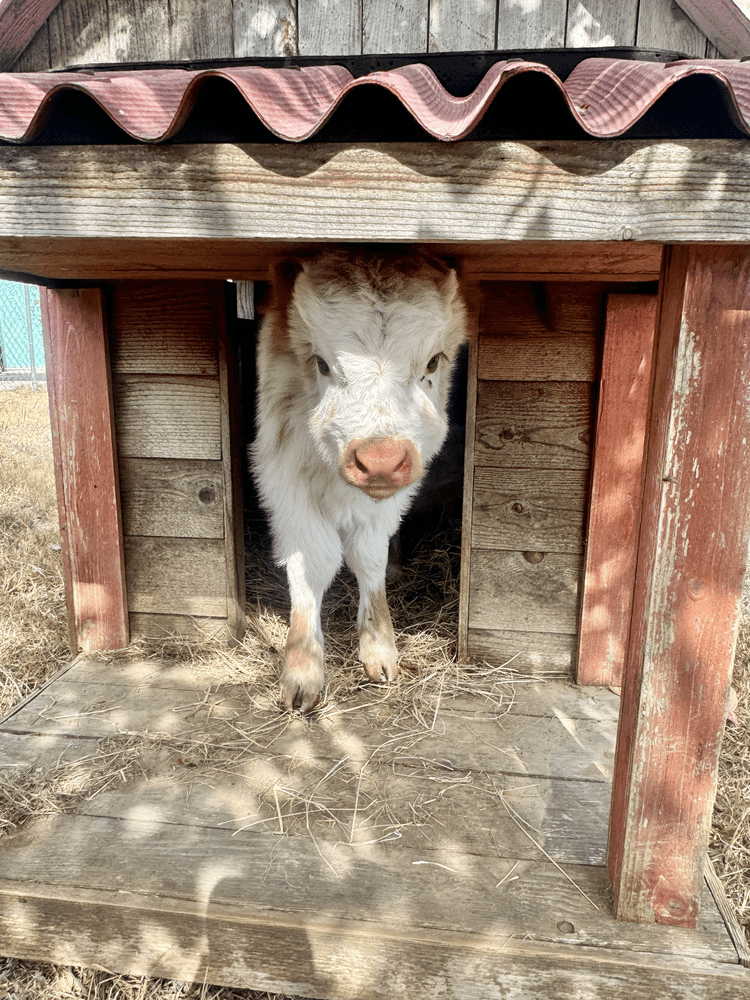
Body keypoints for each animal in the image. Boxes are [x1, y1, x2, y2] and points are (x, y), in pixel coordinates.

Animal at [252, 249, 467, 711]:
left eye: (433, 361)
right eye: (321, 363)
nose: (380, 461)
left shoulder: (390, 496)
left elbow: (369, 556)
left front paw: (380, 646)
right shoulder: (283, 477)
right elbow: (312, 561)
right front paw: (303, 668)